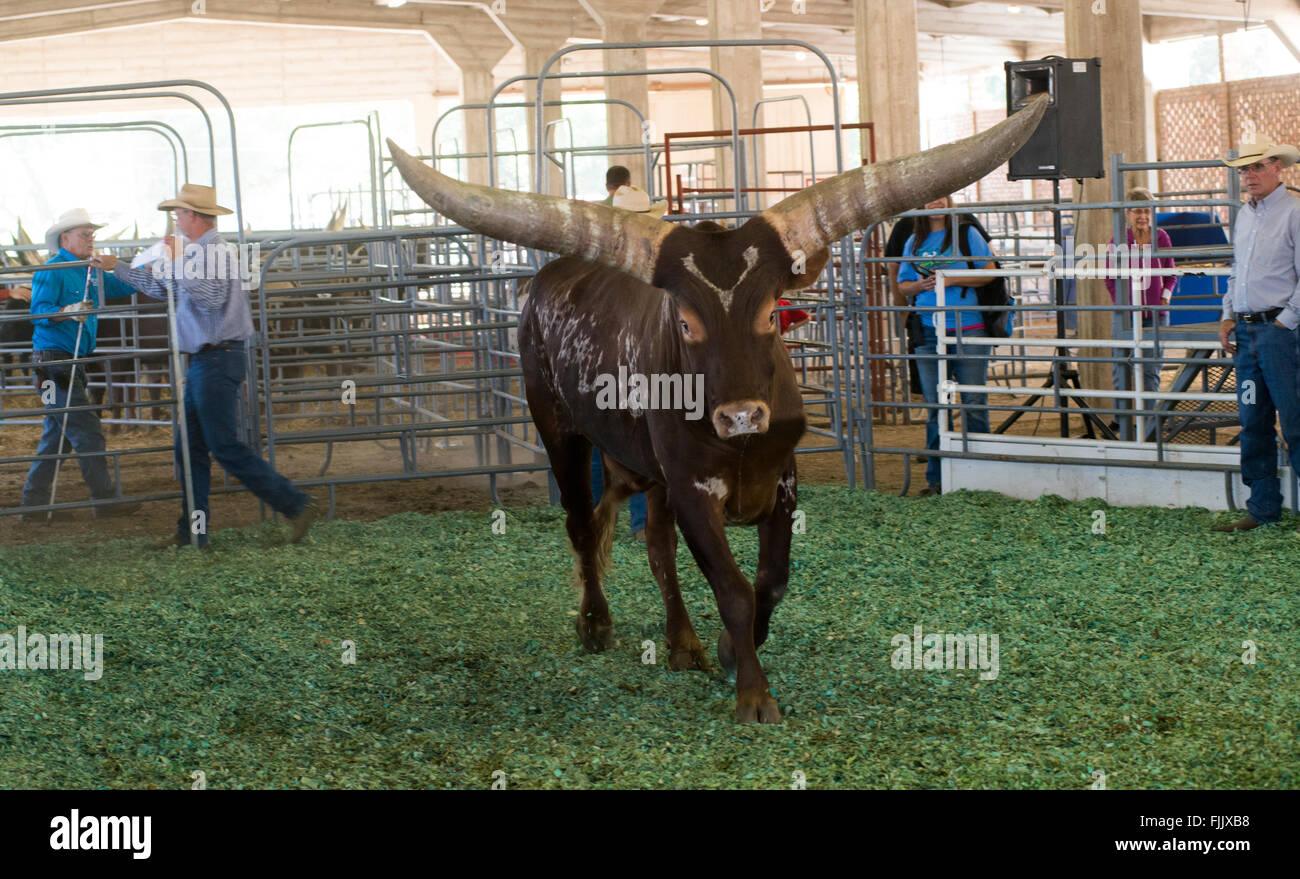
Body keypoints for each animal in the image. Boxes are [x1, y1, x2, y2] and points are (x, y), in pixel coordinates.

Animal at [387, 95, 1047, 723]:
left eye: (772, 312)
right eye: (684, 322)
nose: (742, 416)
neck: (742, 446)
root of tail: (546, 282)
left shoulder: (783, 480)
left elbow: (770, 584)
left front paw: (734, 648)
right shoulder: (692, 488)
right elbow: (732, 588)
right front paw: (753, 692)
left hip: (646, 472)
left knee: (657, 548)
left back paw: (683, 643)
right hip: (559, 428)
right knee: (581, 523)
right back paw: (596, 623)